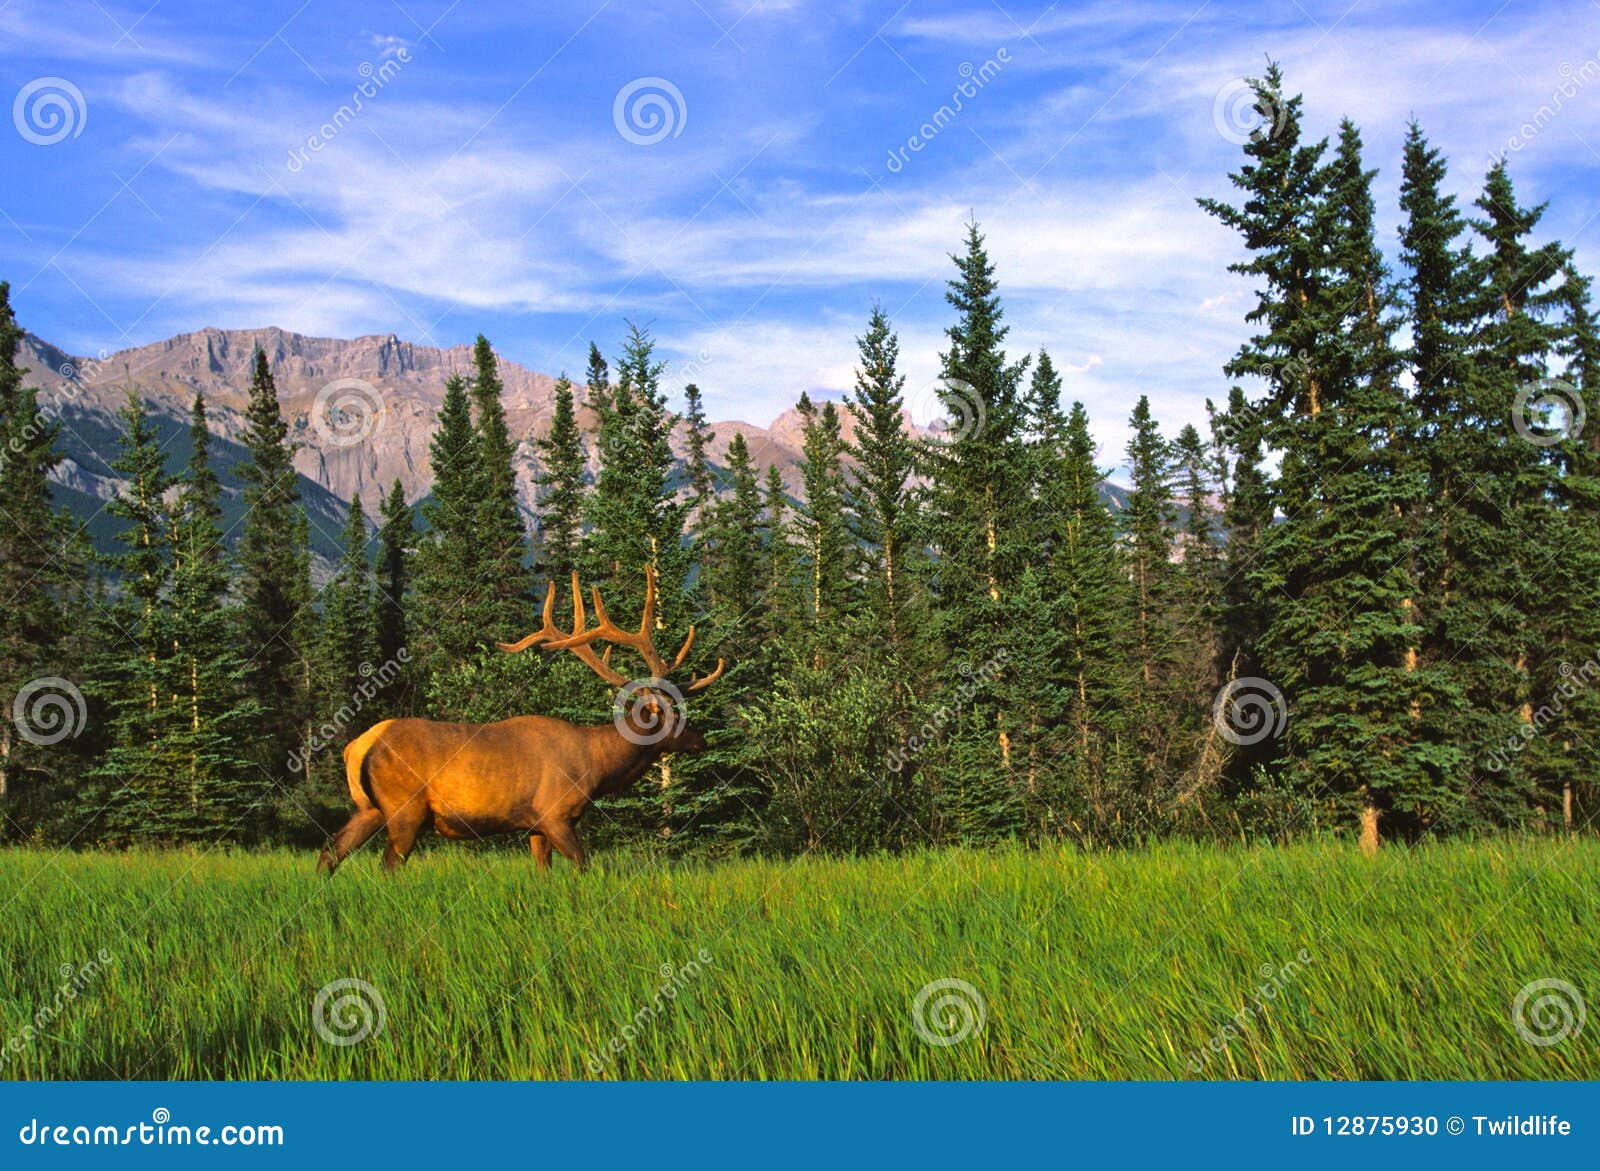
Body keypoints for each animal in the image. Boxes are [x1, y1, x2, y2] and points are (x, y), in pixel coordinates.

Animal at [316, 566, 724, 874]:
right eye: (674, 714)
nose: (702, 739)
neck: (597, 766)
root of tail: (357, 746)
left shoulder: (535, 825)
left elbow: (543, 871)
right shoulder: (555, 813)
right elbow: (582, 865)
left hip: (367, 807)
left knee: (329, 851)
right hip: (406, 809)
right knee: (388, 864)